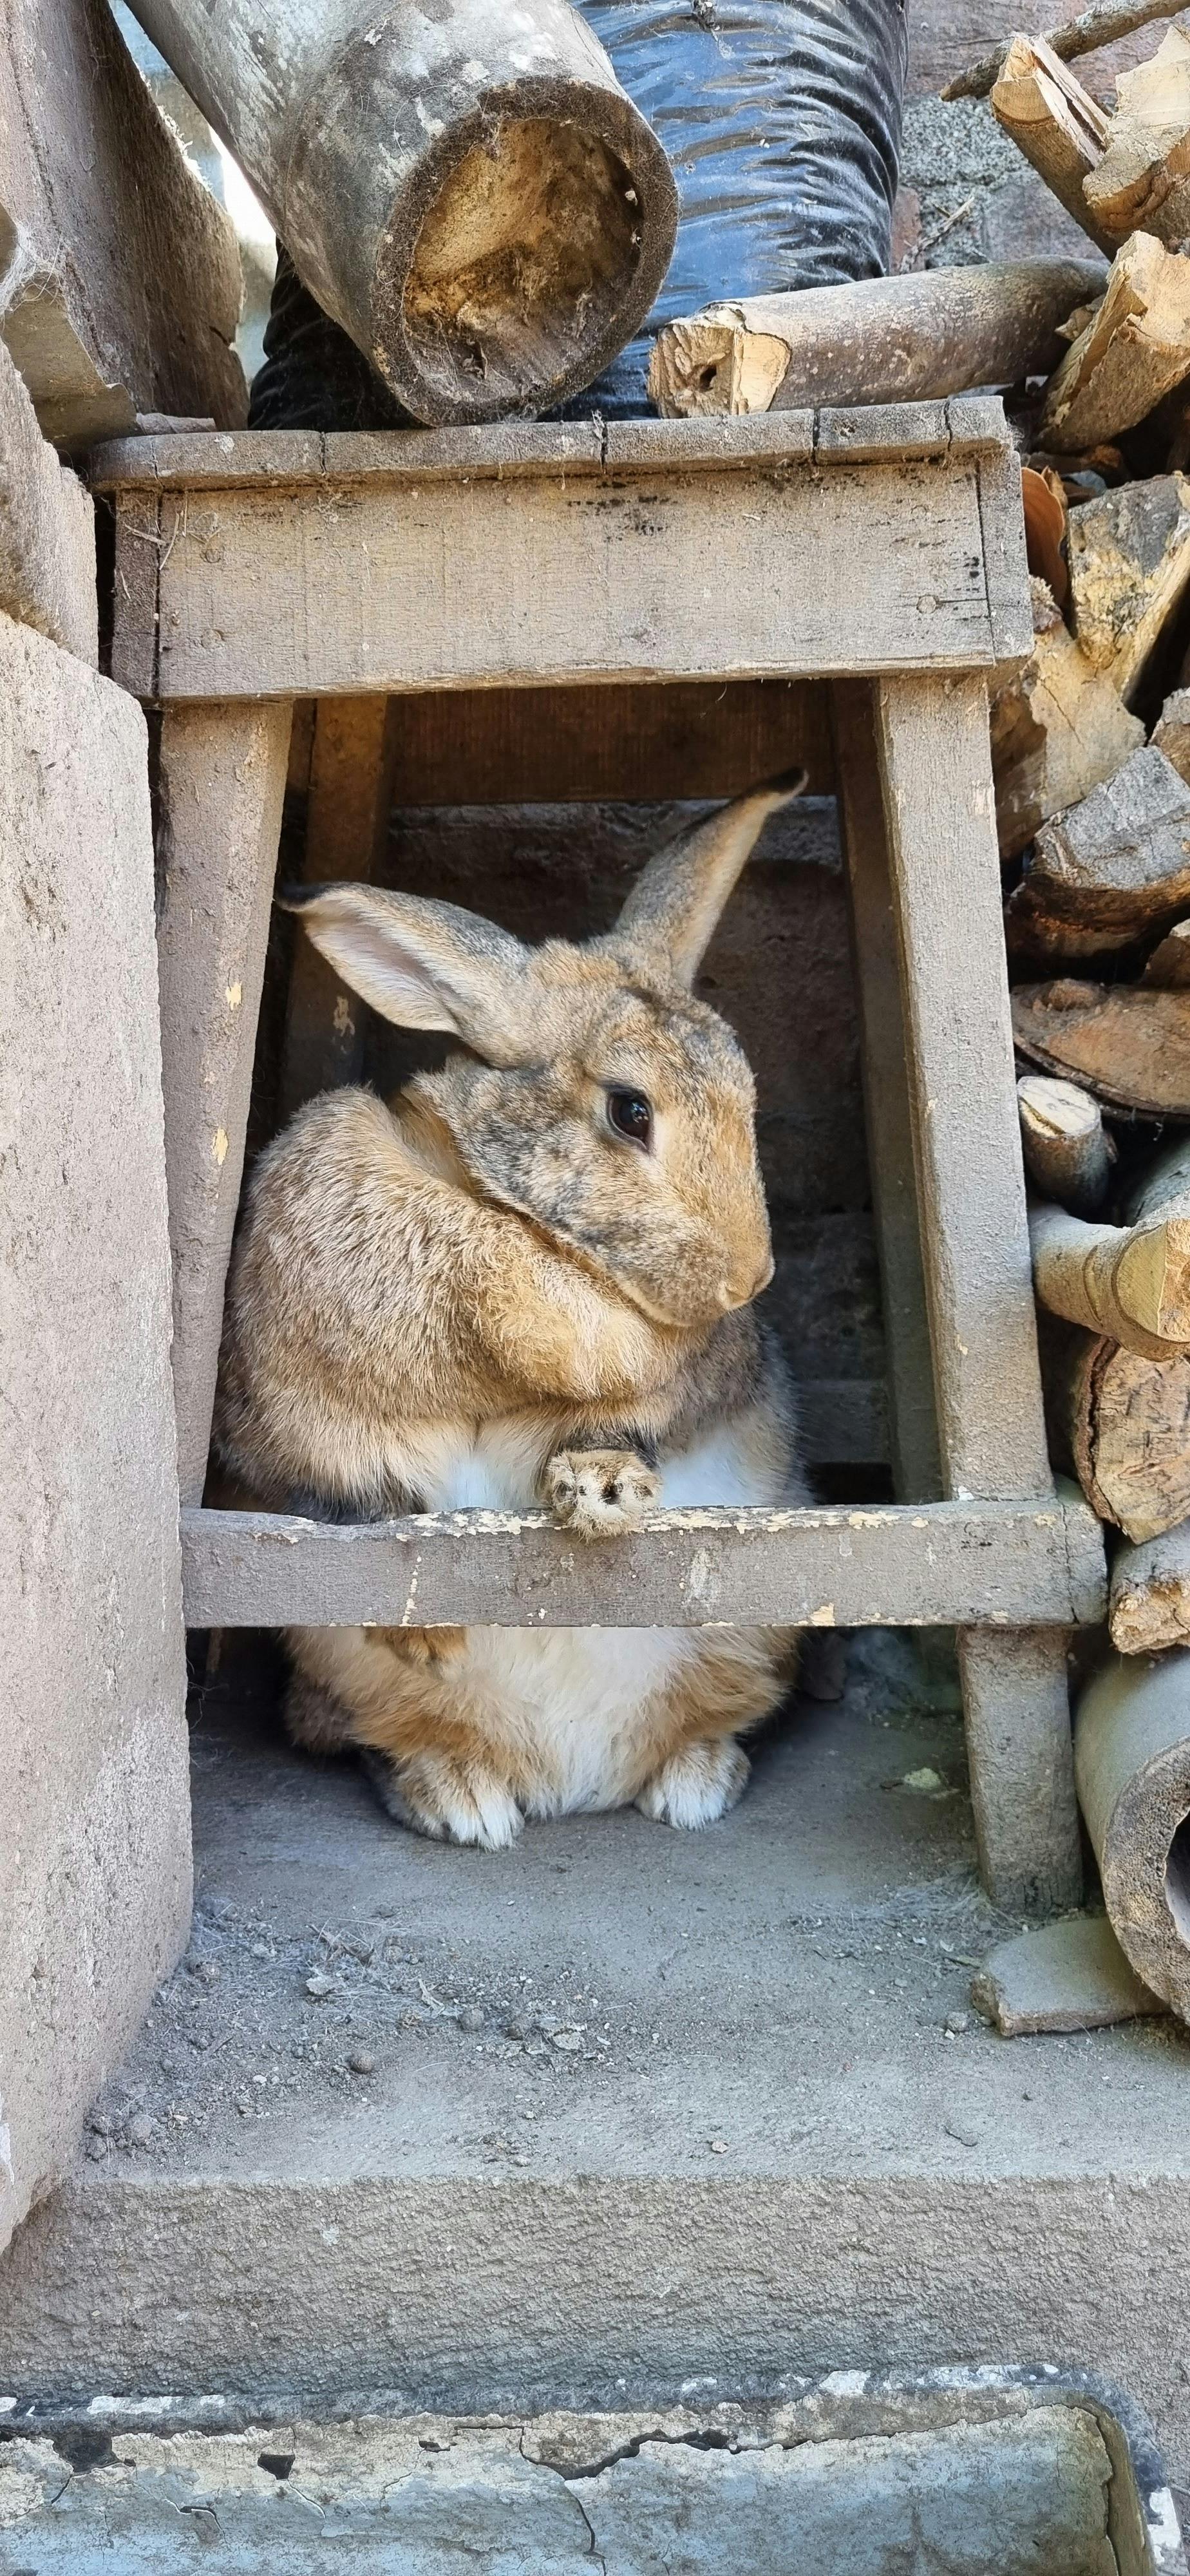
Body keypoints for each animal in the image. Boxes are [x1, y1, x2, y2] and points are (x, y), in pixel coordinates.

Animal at [214, 774, 810, 1848]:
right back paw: (462, 1797)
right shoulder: (290, 1434)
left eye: (745, 1090)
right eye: (629, 1110)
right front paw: (436, 1631)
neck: (510, 1221)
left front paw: (603, 1491)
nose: (747, 1281)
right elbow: (360, 1506)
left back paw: (692, 1781)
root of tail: (573, 1776)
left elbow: (631, 1428)